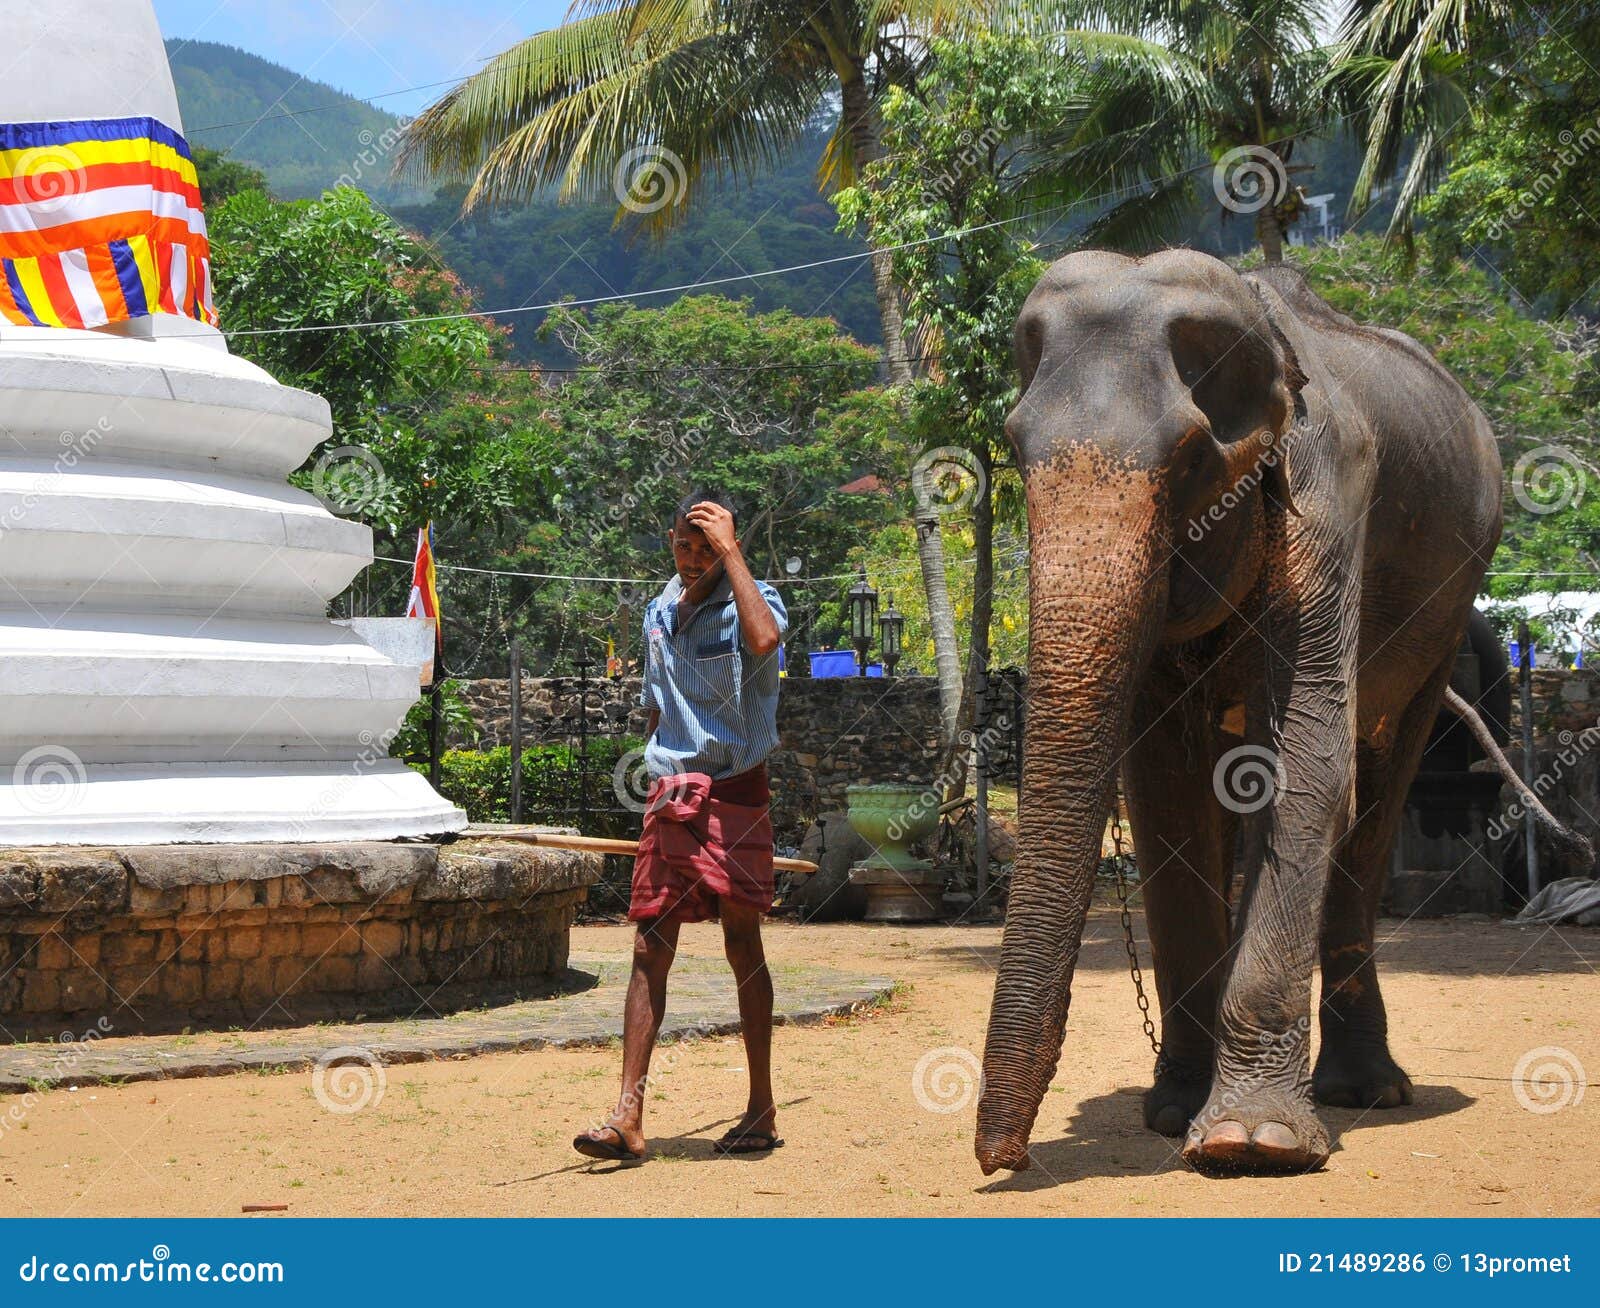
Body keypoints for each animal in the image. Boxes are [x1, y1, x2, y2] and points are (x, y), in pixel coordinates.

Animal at [975, 248, 1589, 1177]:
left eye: (1190, 456)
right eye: (1012, 447)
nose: (997, 1160)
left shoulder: (1330, 495)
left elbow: (1303, 761)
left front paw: (1249, 1143)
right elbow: (1165, 792)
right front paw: (1175, 1113)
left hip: (1452, 606)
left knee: (1381, 784)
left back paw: (1365, 1091)